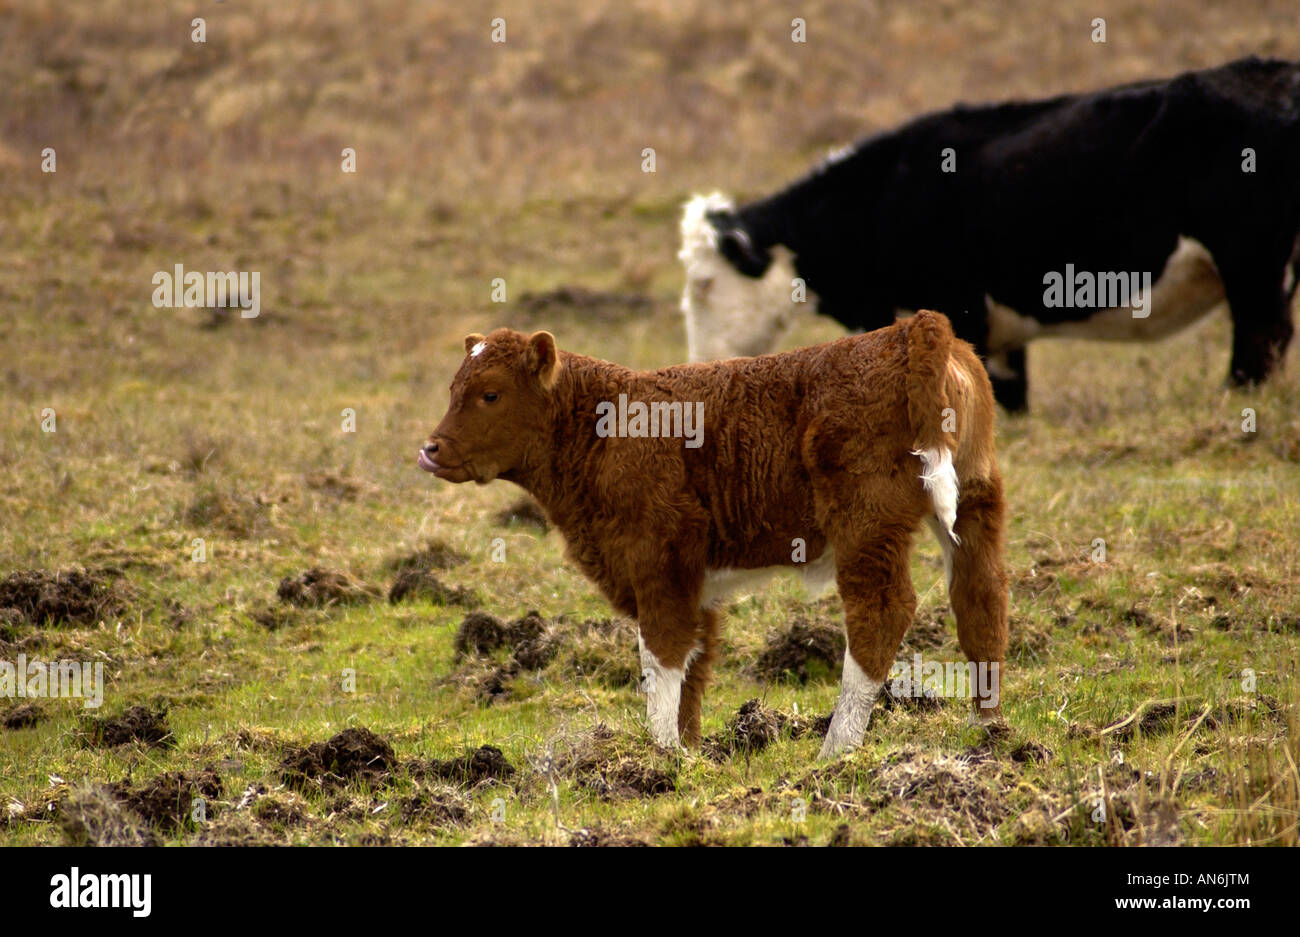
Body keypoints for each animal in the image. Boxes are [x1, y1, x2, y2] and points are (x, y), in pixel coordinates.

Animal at [417, 312, 1009, 759]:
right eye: (452, 389)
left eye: (490, 394)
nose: (431, 449)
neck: (605, 428)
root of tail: (911, 330)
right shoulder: (693, 579)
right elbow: (694, 663)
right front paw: (689, 748)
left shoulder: (660, 558)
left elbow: (661, 654)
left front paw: (660, 754)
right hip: (976, 499)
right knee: (981, 598)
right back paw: (987, 732)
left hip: (865, 522)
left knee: (881, 613)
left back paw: (835, 749)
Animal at [680, 56, 1300, 412]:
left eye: (705, 285)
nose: (698, 370)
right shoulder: (1000, 337)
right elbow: (1009, 396)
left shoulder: (959, 306)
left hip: (1252, 265)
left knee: (1259, 341)